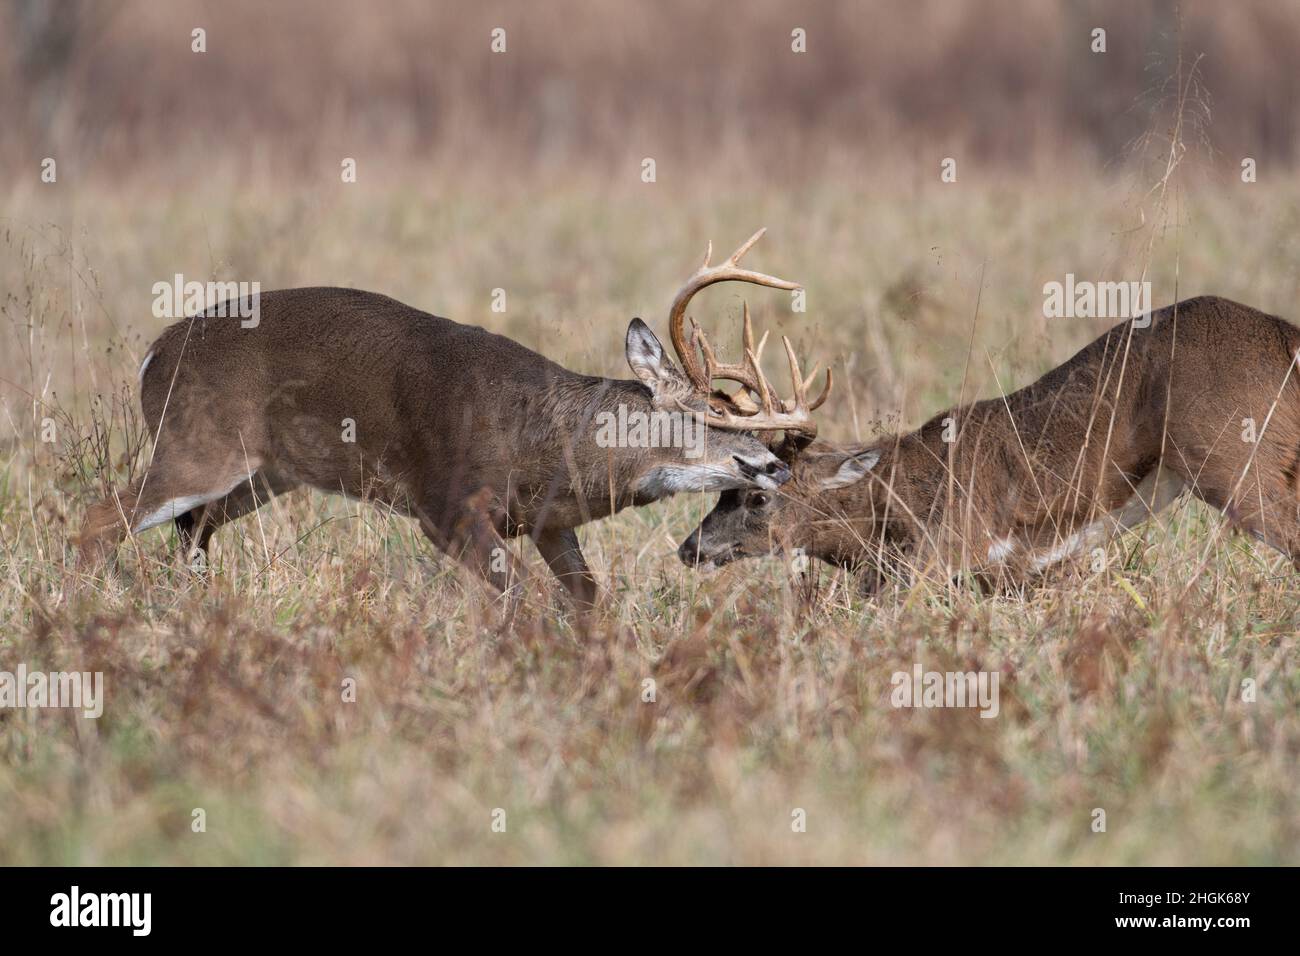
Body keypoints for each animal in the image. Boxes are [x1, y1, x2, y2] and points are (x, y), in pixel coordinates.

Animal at [78, 230, 830, 608]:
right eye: (710, 414)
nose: (773, 465)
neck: (550, 442)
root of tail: (153, 353)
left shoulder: (547, 522)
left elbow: (586, 598)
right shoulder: (446, 506)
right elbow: (524, 599)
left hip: (264, 475)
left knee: (191, 530)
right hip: (197, 443)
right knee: (99, 518)